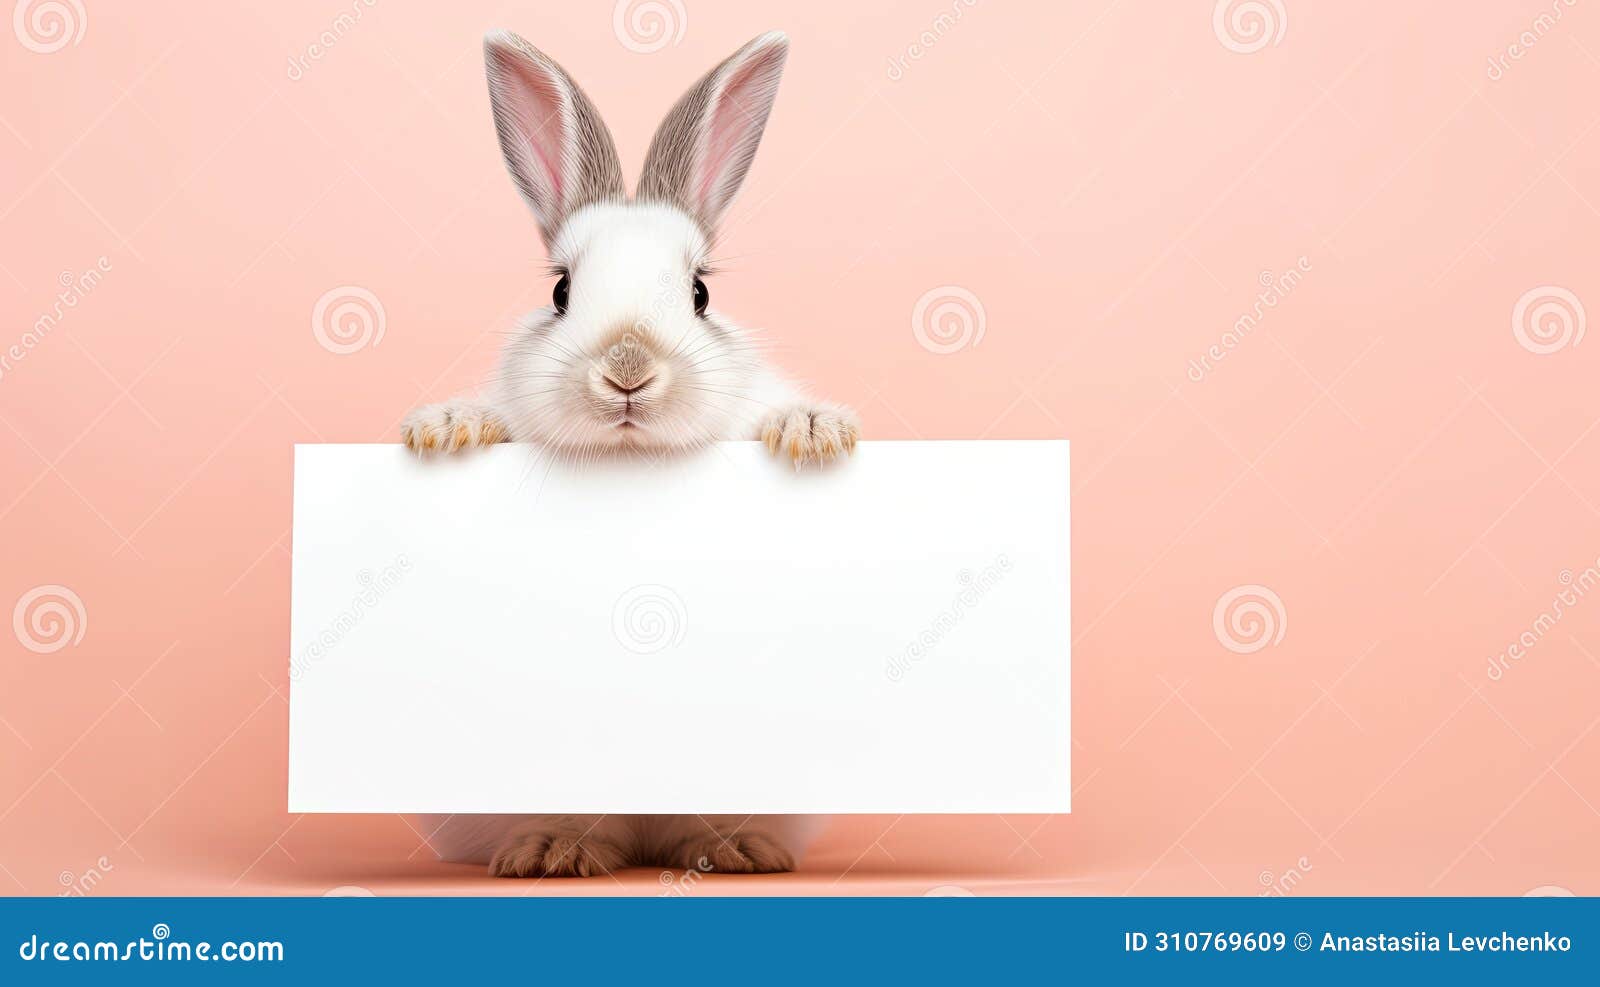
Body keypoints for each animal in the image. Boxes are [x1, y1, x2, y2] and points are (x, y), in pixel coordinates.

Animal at [403, 30, 855, 877]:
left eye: (702, 293)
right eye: (559, 293)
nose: (627, 370)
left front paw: (814, 428)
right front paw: (444, 426)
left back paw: (735, 848)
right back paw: (553, 849)